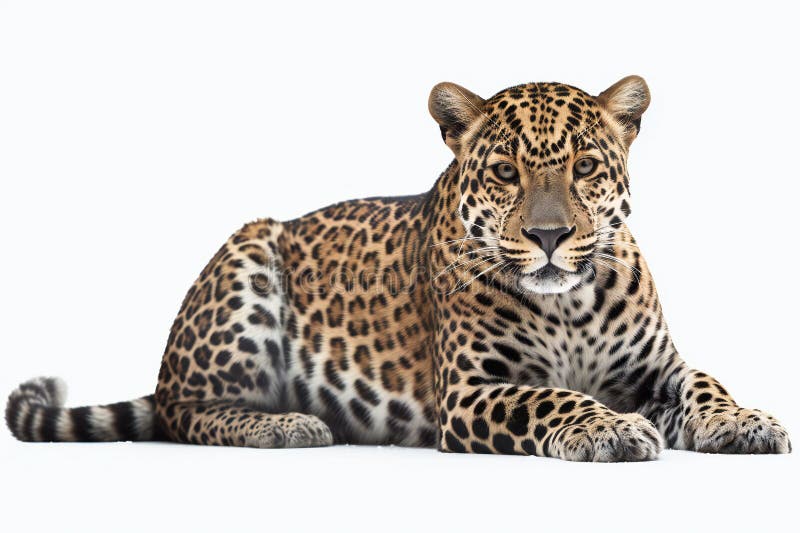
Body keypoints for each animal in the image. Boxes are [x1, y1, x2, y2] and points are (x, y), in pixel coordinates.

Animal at [6, 76, 791, 460]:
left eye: (586, 168)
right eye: (505, 172)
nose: (548, 236)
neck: (570, 305)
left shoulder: (656, 368)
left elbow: (704, 381)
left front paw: (746, 422)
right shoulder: (471, 391)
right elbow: (553, 396)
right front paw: (609, 430)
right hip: (247, 254)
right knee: (183, 414)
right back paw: (287, 424)